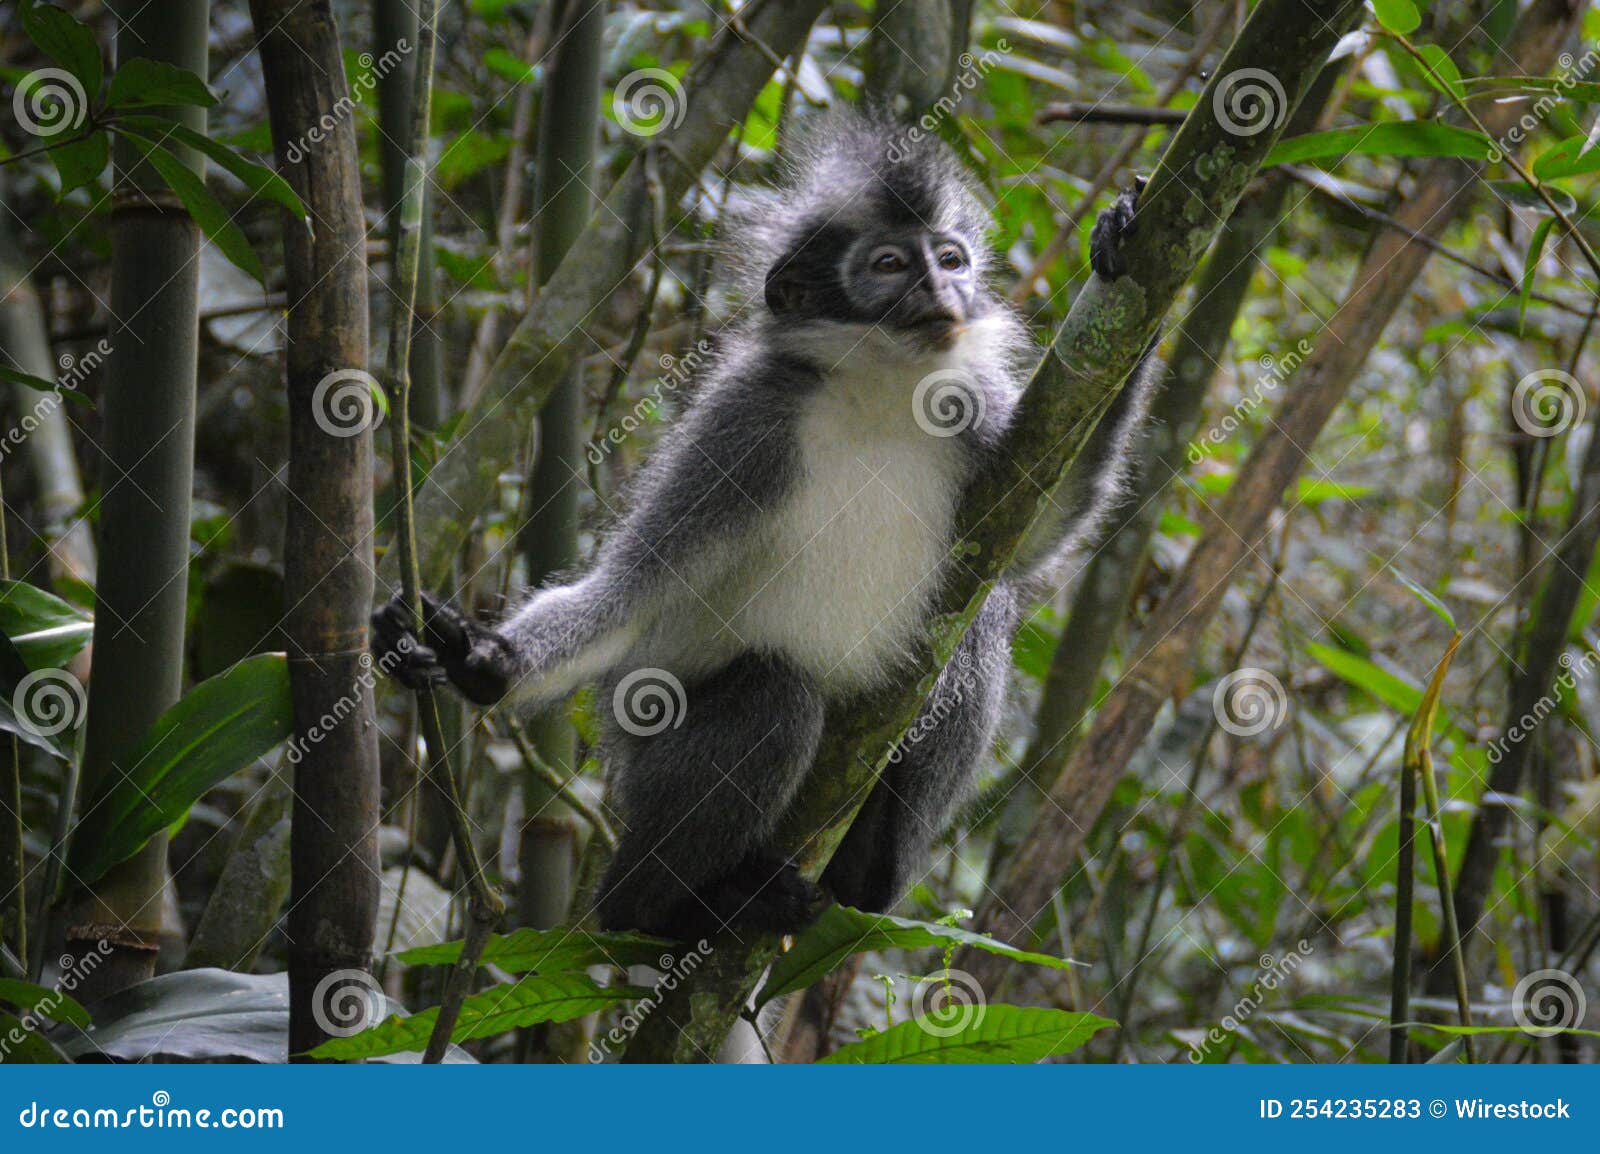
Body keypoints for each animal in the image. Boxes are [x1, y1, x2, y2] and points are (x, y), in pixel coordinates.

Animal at [372, 111, 1161, 940]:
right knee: (773, 695)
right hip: (650, 764)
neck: (878, 393)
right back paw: (661, 904)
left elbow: (1037, 533)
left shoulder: (971, 405)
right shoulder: (745, 425)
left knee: (977, 622)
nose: (943, 288)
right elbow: (628, 595)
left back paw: (867, 868)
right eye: (889, 264)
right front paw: (482, 662)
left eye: (951, 258)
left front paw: (1120, 251)